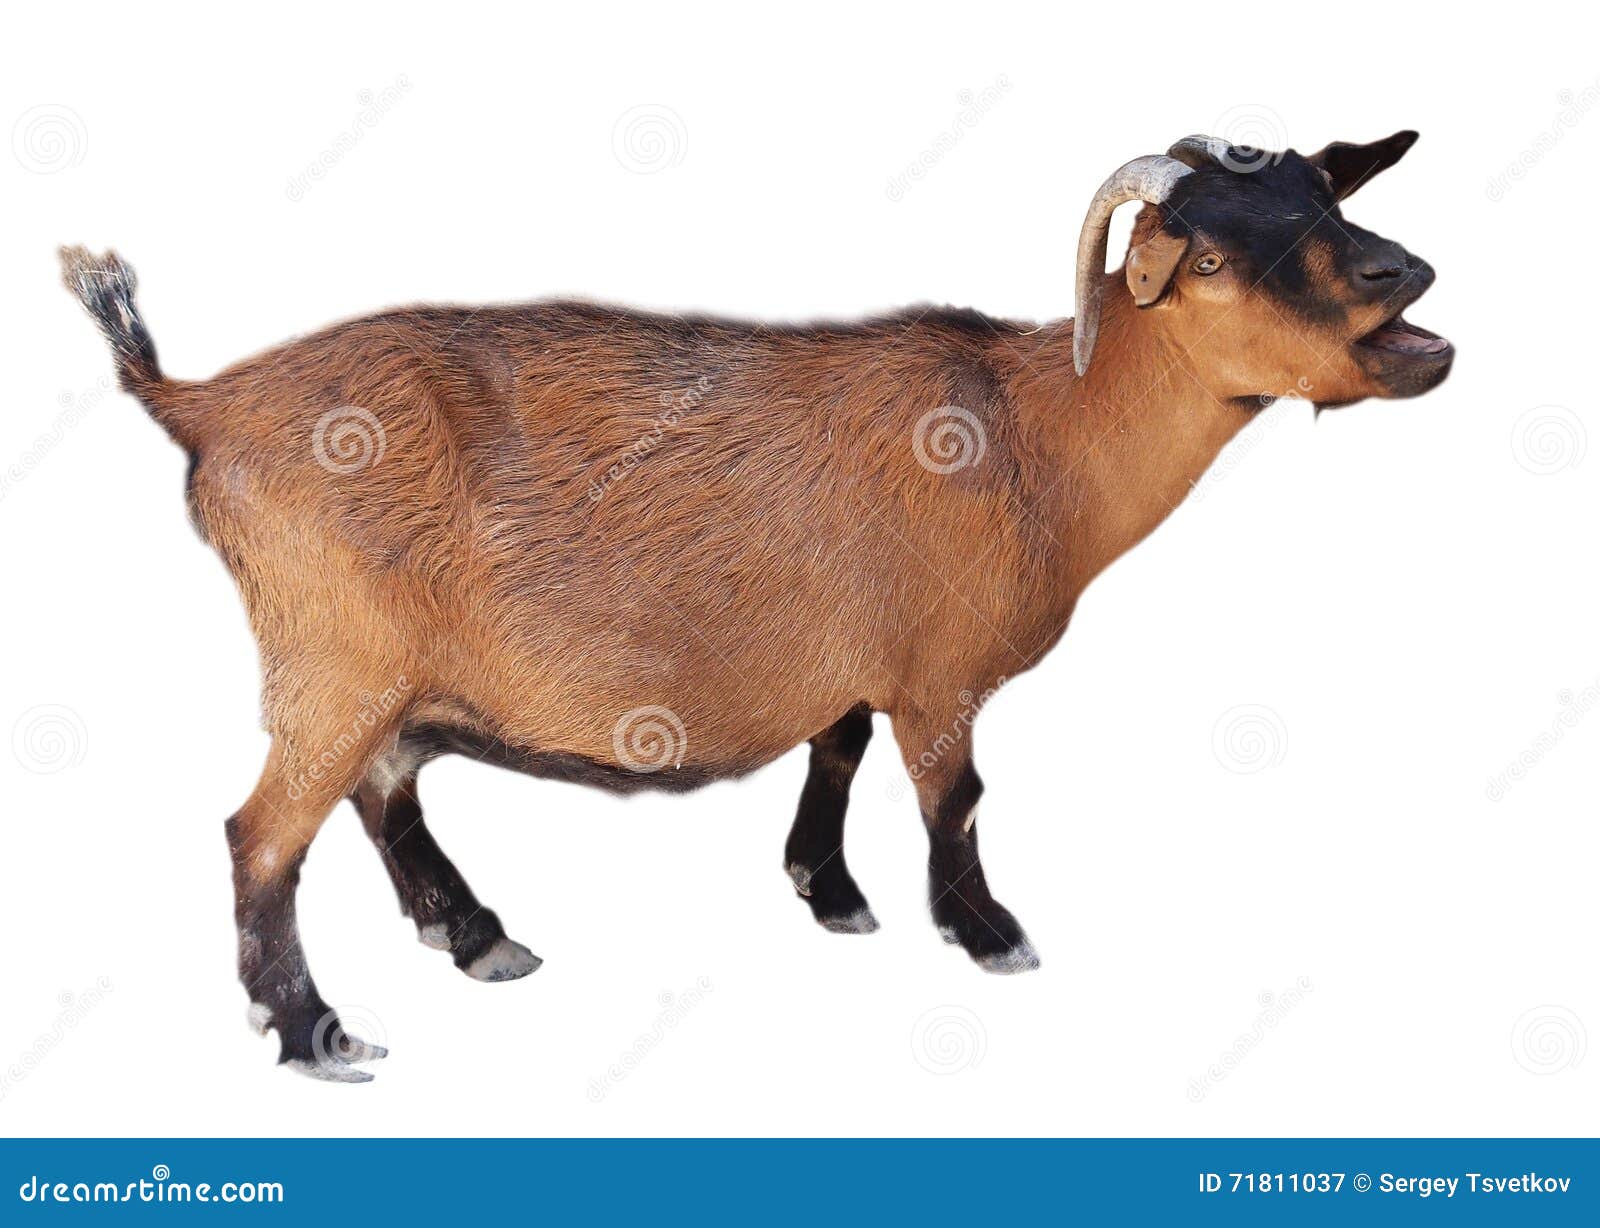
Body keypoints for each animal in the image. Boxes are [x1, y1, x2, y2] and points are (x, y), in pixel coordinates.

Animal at [61, 130, 1453, 1081]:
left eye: (1329, 202)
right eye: (1208, 255)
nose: (1406, 275)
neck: (1034, 431)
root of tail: (203, 402)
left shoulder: (862, 657)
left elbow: (834, 750)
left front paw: (825, 890)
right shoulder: (939, 673)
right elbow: (953, 796)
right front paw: (985, 931)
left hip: (374, 671)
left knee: (379, 790)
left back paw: (477, 936)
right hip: (331, 657)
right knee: (262, 834)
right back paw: (314, 1029)